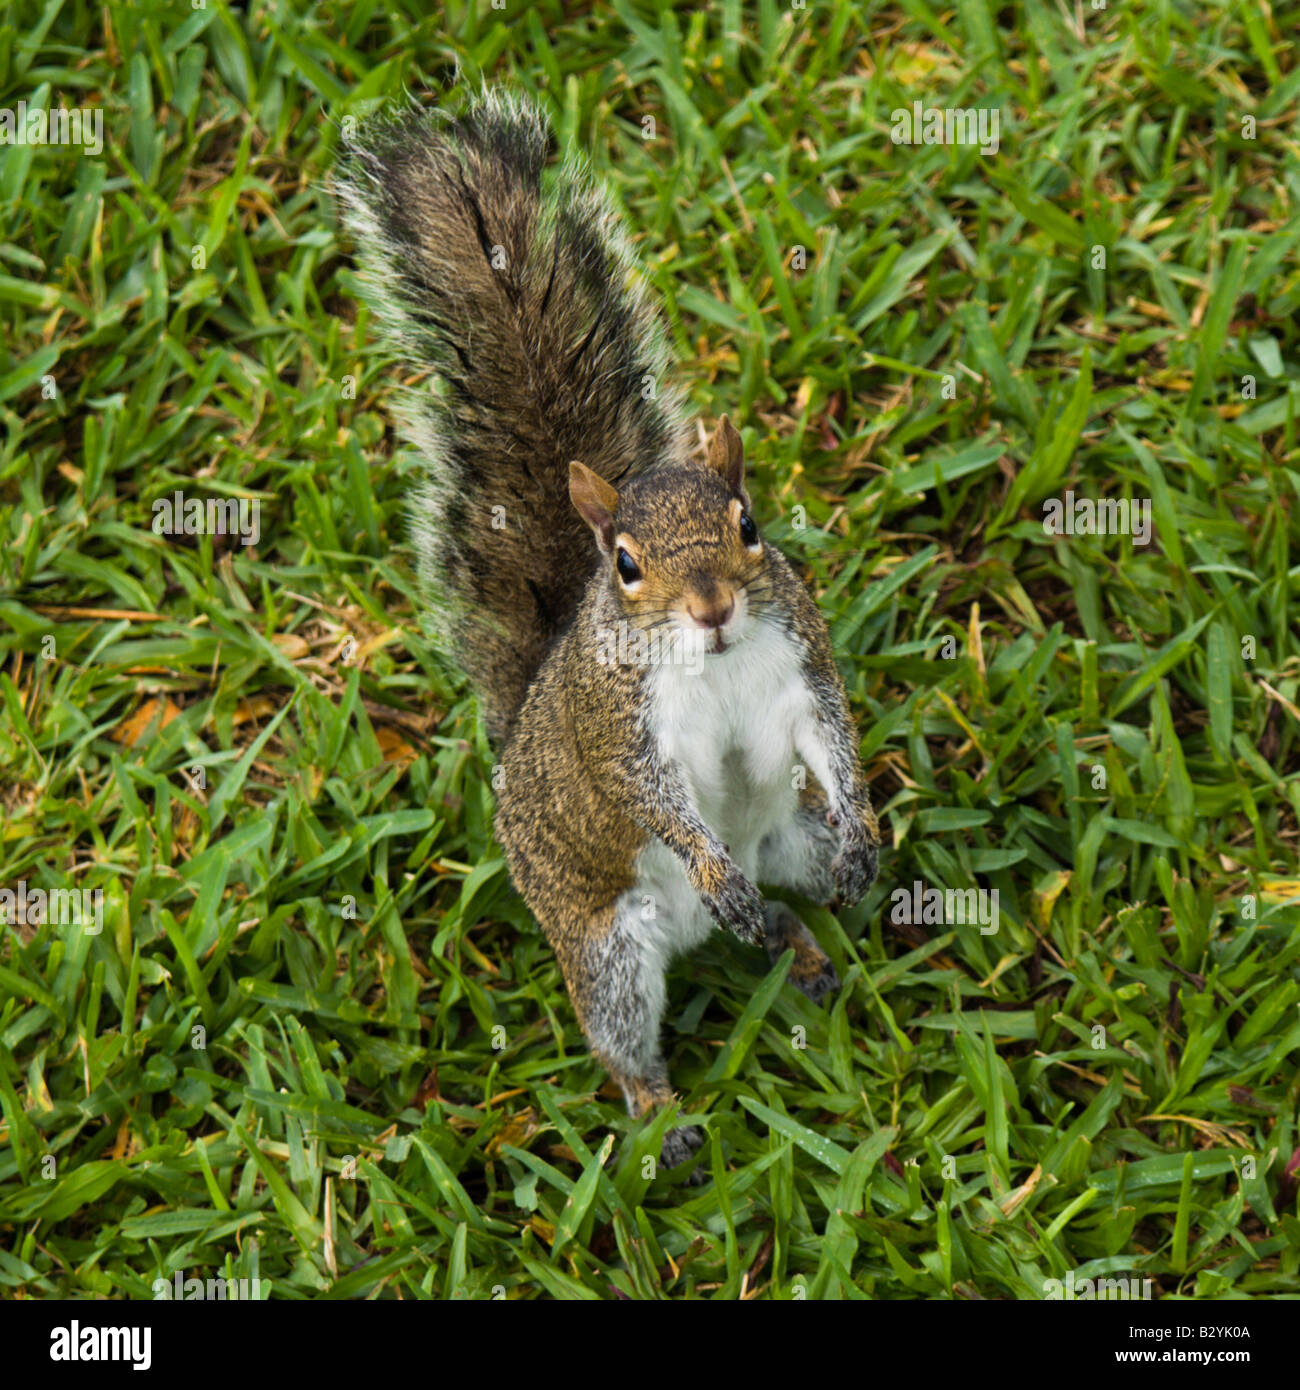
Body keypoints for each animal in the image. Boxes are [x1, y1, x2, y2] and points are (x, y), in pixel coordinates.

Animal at [339, 90, 881, 1175]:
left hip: (788, 843)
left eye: (748, 525)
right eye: (626, 566)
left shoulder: (802, 664)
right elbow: (649, 794)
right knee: (622, 1038)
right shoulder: (616, 726)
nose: (713, 607)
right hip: (608, 950)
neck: (713, 662)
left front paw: (866, 826)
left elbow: (829, 739)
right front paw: (705, 857)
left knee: (781, 903)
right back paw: (664, 1113)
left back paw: (800, 947)